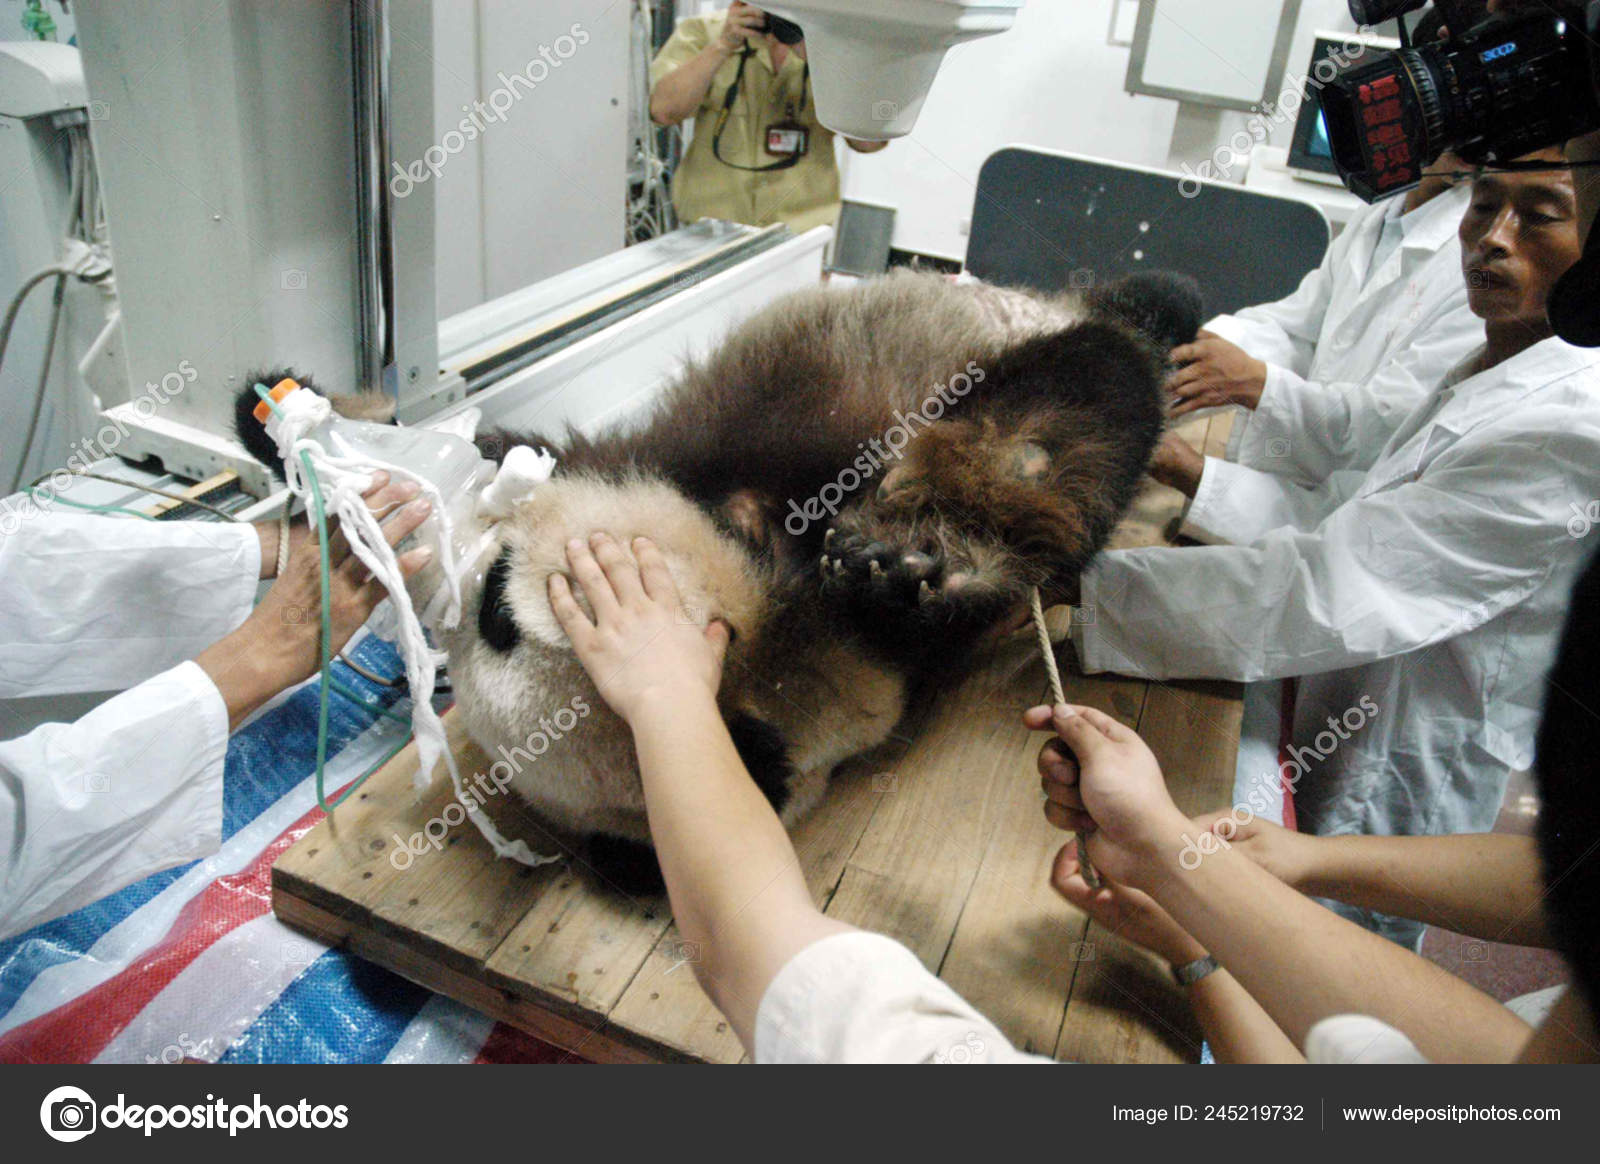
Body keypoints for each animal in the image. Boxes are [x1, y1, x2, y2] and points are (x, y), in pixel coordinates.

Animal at [237, 269, 1200, 892]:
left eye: (499, 614)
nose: (470, 576)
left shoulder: (687, 468)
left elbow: (508, 446)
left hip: (1011, 346)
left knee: (1084, 383)